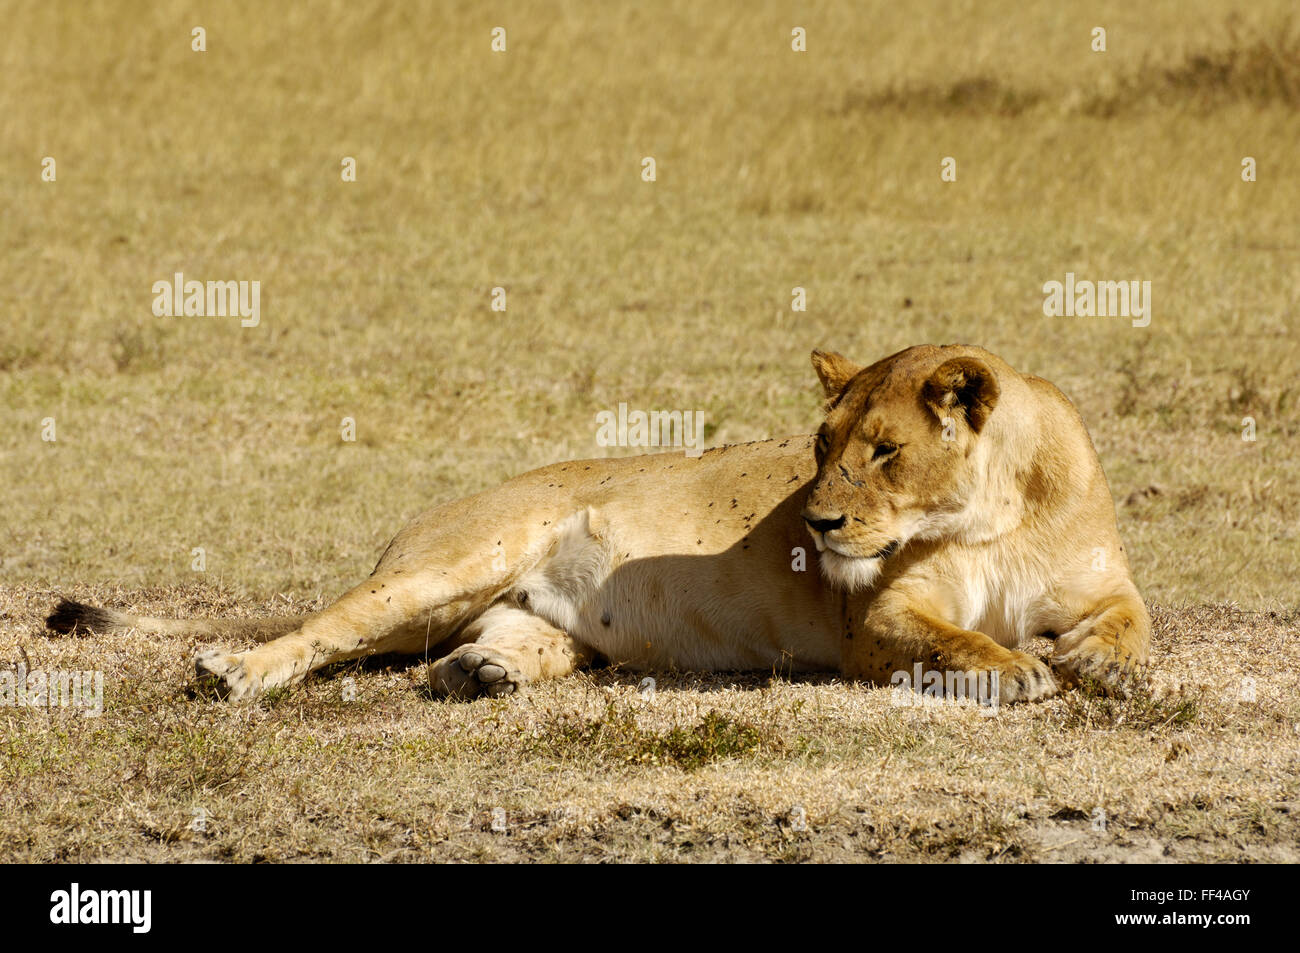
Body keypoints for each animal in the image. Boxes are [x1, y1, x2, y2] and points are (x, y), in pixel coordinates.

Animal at [45, 344, 1150, 704]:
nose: (820, 520)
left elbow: (1133, 630)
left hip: (535, 615)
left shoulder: (1107, 585)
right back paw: (233, 669)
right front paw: (1022, 668)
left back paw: (481, 672)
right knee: (323, 632)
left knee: (497, 641)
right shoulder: (876, 622)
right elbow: (955, 637)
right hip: (442, 566)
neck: (997, 510)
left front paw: (1101, 664)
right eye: (821, 441)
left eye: (883, 450)